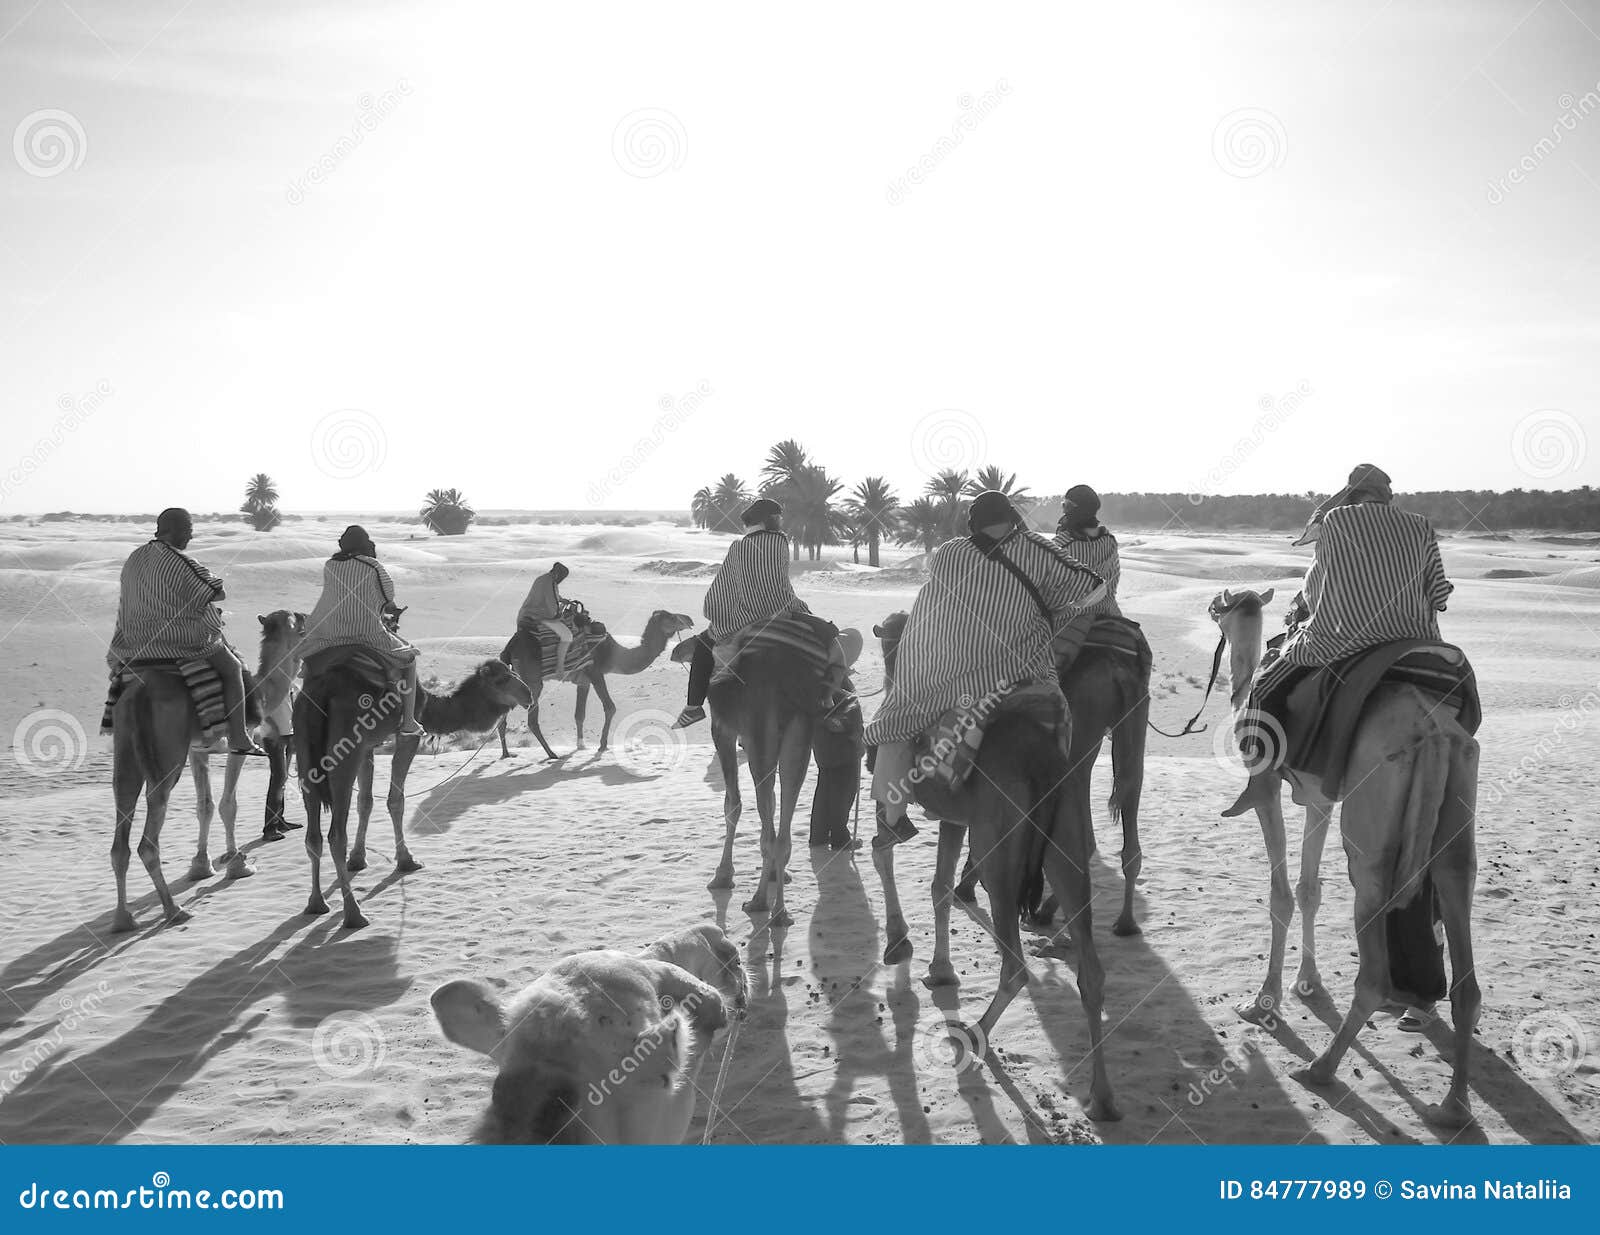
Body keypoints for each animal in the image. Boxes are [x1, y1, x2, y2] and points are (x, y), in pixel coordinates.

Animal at [108, 612, 302, 932]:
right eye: (300, 621)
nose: (310, 618)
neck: (261, 690)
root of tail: (137, 692)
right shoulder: (239, 745)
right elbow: (228, 805)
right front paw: (238, 863)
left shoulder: (197, 751)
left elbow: (205, 806)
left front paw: (201, 865)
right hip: (166, 756)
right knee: (148, 839)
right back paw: (174, 910)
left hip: (124, 751)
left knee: (120, 834)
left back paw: (123, 919)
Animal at [294, 658, 532, 929]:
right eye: (501, 679)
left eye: (511, 671)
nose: (528, 694)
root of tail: (319, 693)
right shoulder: (406, 736)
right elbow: (395, 800)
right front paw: (406, 860)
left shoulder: (367, 746)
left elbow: (365, 802)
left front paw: (358, 859)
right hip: (345, 748)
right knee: (335, 835)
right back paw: (354, 915)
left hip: (305, 751)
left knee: (313, 835)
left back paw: (316, 903)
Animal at [498, 609, 694, 758]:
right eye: (671, 617)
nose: (690, 619)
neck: (613, 653)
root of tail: (509, 647)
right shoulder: (595, 672)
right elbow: (610, 707)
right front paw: (602, 745)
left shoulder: (583, 681)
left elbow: (579, 714)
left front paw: (581, 746)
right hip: (533, 681)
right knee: (532, 719)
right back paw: (551, 754)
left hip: (516, 680)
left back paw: (506, 753)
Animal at [867, 612, 1120, 1120]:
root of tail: (1043, 763)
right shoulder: (954, 817)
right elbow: (940, 887)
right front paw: (940, 968)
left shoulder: (899, 799)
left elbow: (882, 850)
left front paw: (899, 943)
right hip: (1065, 838)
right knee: (1091, 968)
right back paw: (1102, 1098)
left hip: (998, 853)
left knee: (1016, 965)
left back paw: (971, 1035)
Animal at [1211, 586, 1481, 1128]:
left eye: (1222, 606)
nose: (1211, 607)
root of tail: (1433, 733)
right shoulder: (1320, 797)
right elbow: (1309, 889)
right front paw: (1308, 984)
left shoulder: (1267, 788)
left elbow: (1282, 893)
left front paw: (1263, 1002)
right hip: (1456, 819)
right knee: (1463, 950)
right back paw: (1452, 1106)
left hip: (1371, 847)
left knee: (1374, 969)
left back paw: (1320, 1068)